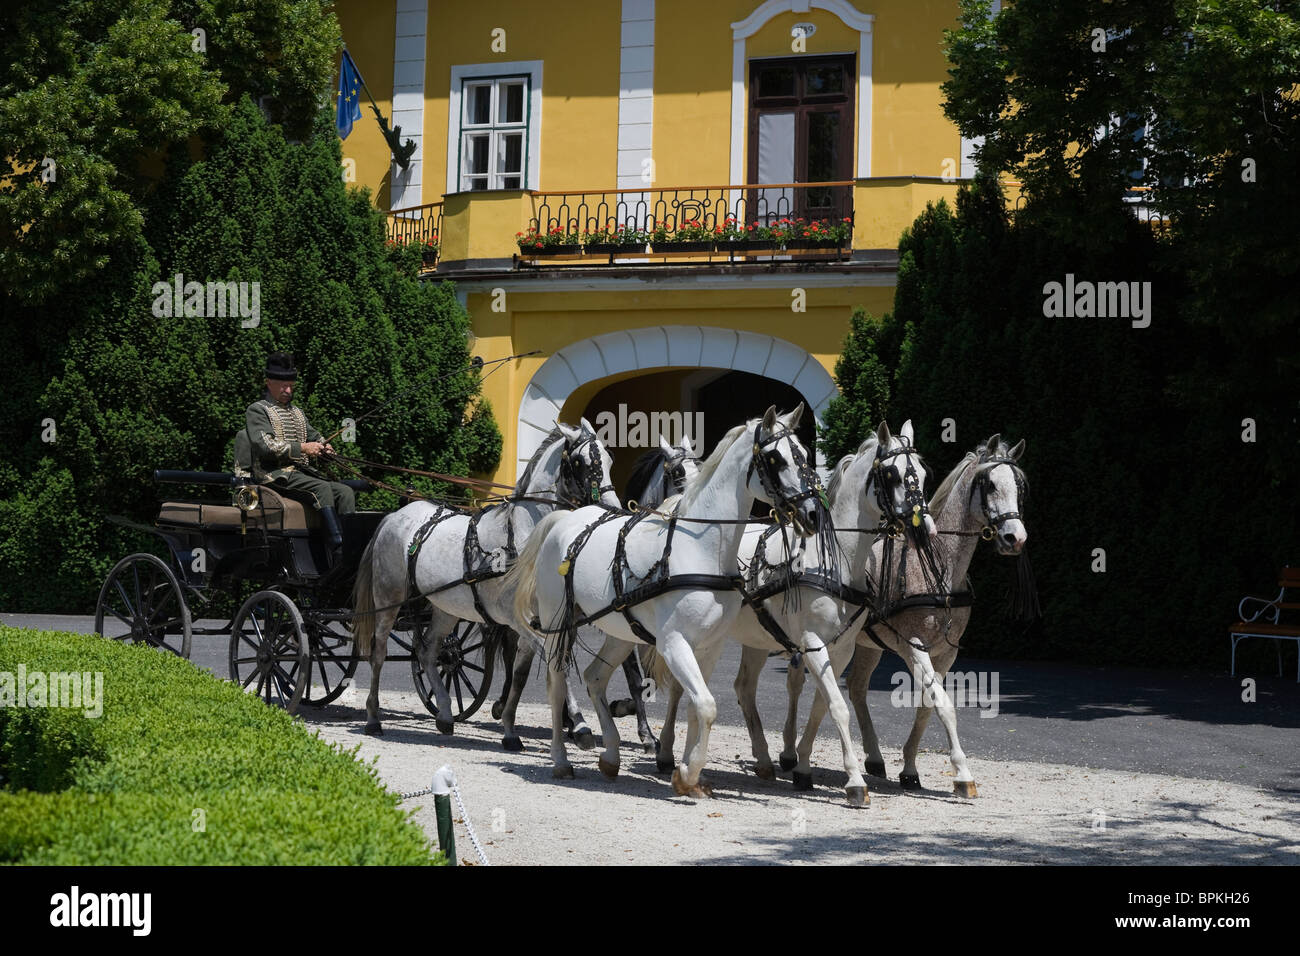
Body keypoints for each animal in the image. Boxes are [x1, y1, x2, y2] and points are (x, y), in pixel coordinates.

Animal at [351, 418, 618, 737]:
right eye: (580, 461)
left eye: (608, 459)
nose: (613, 508)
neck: (525, 538)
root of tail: (394, 516)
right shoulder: (517, 619)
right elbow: (552, 660)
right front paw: (578, 722)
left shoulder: (541, 621)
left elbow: (523, 672)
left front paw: (511, 726)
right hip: (388, 599)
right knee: (378, 652)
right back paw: (373, 717)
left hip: (445, 608)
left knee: (427, 651)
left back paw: (444, 713)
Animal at [507, 405, 822, 798]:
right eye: (776, 458)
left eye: (805, 454)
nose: (813, 514)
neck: (700, 547)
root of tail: (566, 518)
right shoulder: (673, 643)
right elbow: (706, 705)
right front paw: (686, 774)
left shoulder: (710, 646)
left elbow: (694, 706)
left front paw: (687, 770)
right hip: (557, 624)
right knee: (557, 681)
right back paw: (562, 758)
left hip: (620, 632)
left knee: (595, 677)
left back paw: (611, 755)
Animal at [654, 420, 938, 806]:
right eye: (892, 475)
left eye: (922, 473)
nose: (925, 529)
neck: (833, 559)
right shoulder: (812, 642)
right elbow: (838, 706)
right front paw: (854, 781)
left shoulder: (841, 648)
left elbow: (823, 704)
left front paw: (802, 767)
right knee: (677, 689)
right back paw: (666, 754)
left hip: (752, 638)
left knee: (743, 687)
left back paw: (762, 760)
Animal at [779, 436, 1029, 796]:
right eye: (990, 484)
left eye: (1019, 486)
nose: (1015, 538)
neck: (939, 566)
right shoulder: (914, 646)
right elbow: (942, 704)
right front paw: (962, 773)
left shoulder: (946, 653)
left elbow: (927, 704)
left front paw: (910, 768)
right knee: (796, 683)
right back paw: (788, 753)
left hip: (866, 645)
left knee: (855, 687)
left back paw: (873, 757)